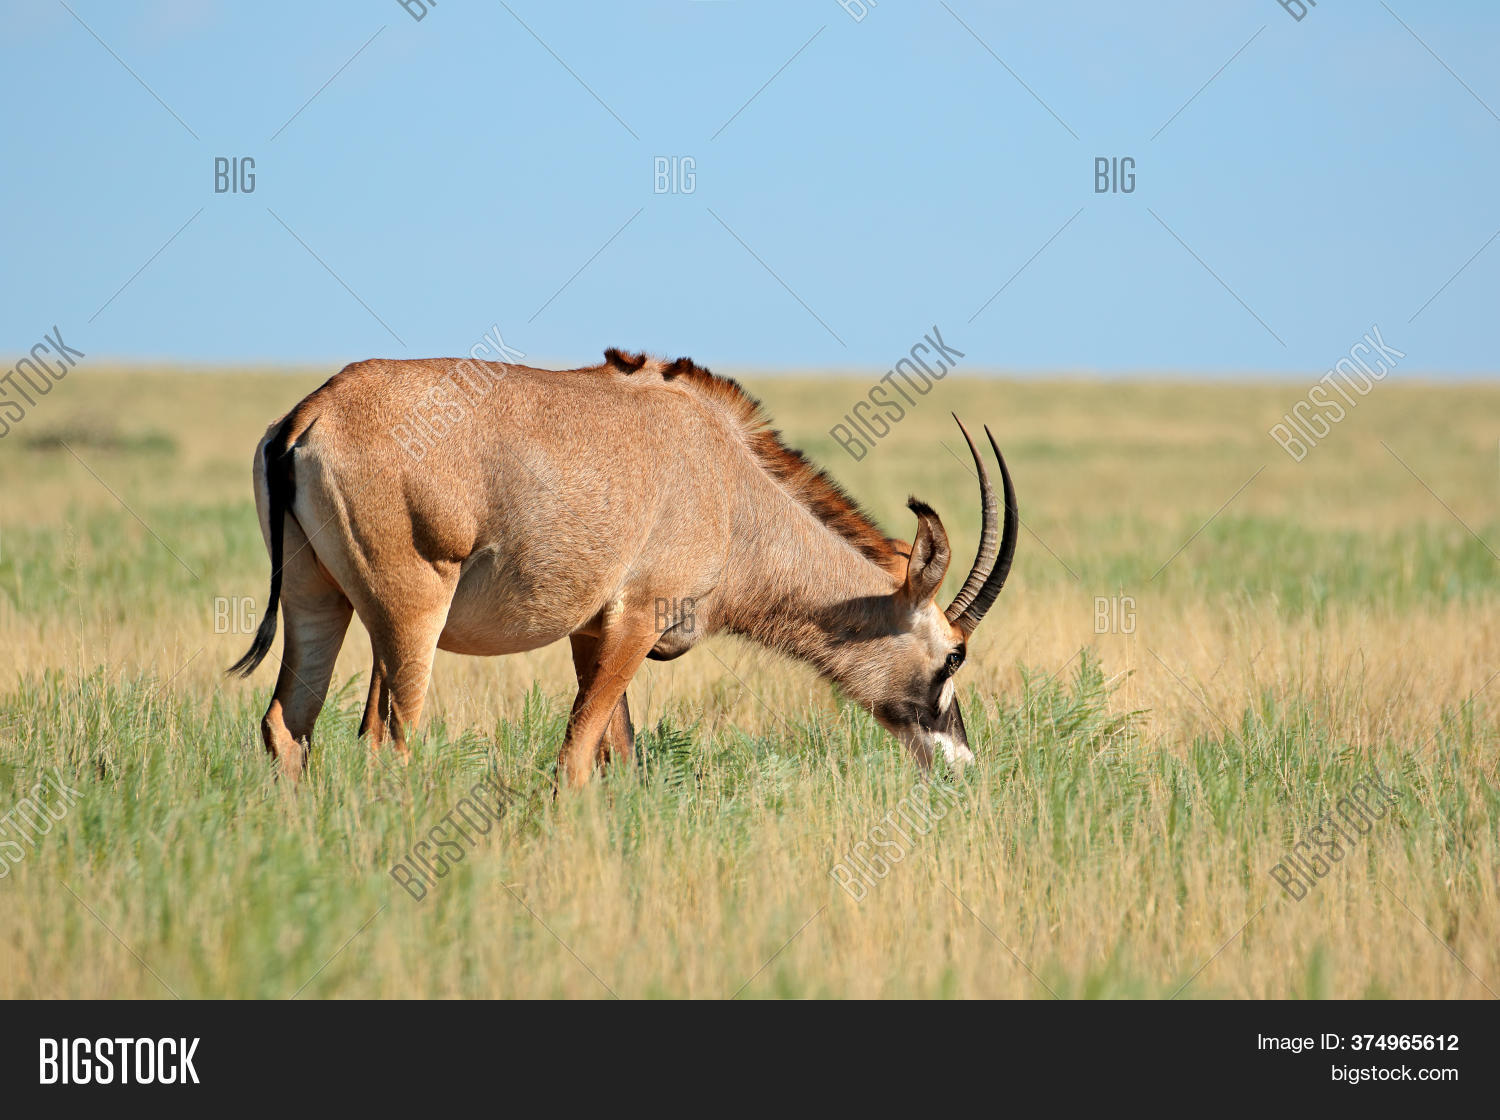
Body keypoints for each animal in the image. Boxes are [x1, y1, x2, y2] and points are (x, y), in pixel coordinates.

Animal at [230, 349, 1017, 787]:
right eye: (953, 656)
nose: (960, 766)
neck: (727, 478)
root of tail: (311, 414)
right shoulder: (637, 620)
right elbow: (577, 759)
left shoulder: (590, 630)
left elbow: (621, 754)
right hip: (410, 615)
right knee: (388, 740)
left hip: (320, 603)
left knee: (287, 728)